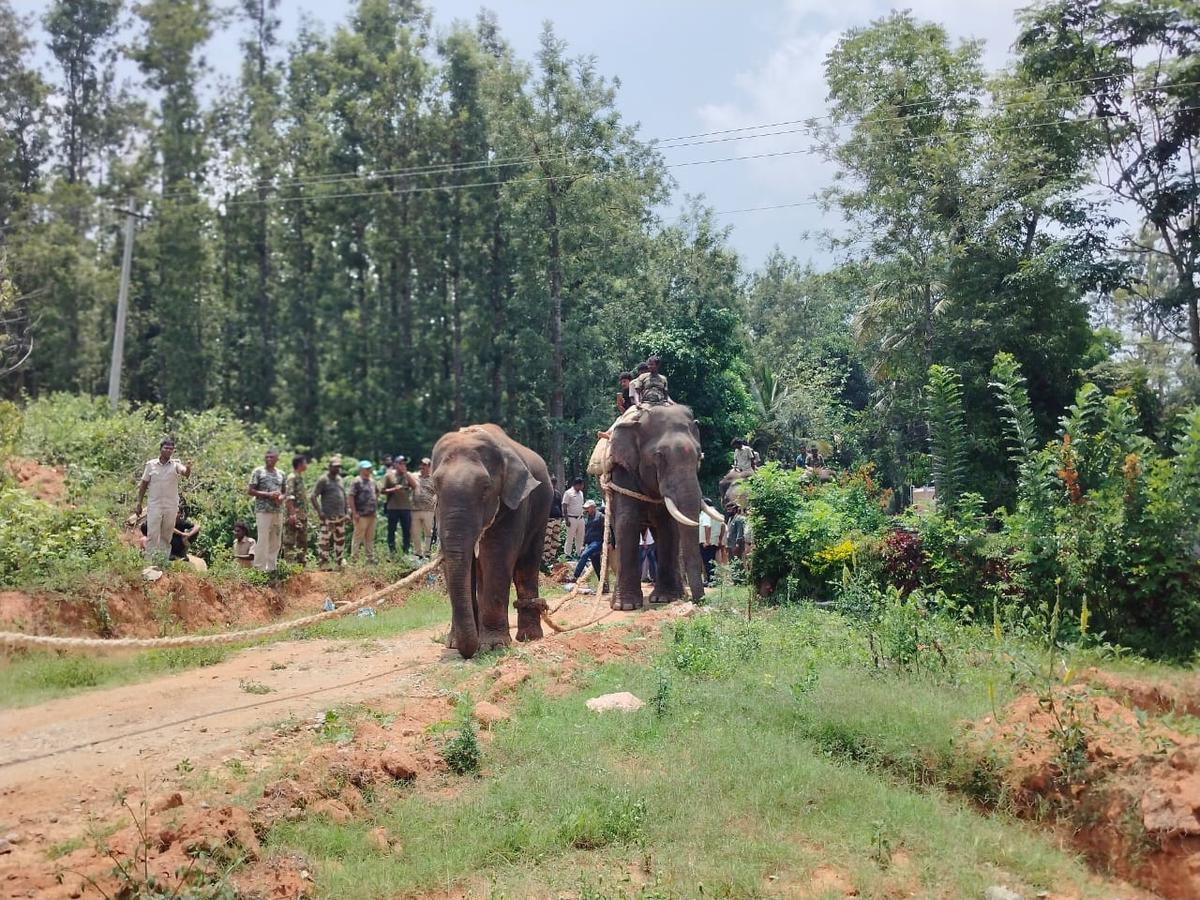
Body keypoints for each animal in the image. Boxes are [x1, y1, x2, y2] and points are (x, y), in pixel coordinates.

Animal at [430, 424, 552, 660]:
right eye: (435, 487)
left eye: (486, 487)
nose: (468, 653)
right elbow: (455, 564)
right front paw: (454, 644)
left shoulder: (515, 504)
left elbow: (497, 556)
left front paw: (494, 647)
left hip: (542, 513)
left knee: (527, 563)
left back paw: (529, 638)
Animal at [604, 403, 727, 611]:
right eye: (659, 456)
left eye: (699, 457)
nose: (699, 602)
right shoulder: (623, 472)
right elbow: (627, 522)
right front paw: (626, 606)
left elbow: (668, 526)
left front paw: (665, 599)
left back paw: (677, 593)